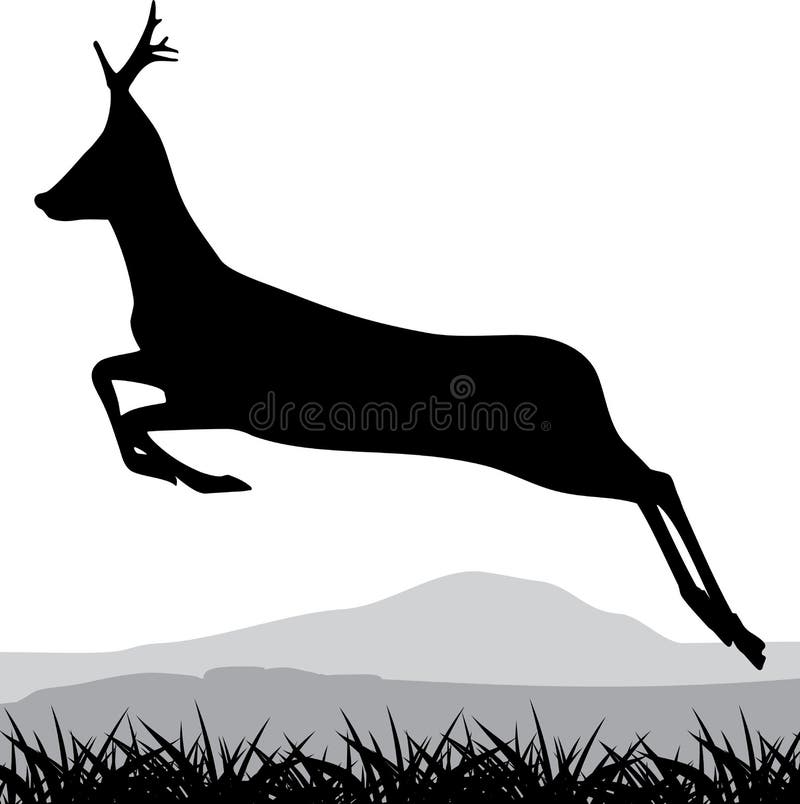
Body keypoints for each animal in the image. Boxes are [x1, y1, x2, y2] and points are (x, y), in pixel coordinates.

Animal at [35, 3, 766, 669]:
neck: (177, 288)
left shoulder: (221, 397)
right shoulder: (172, 372)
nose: (44, 197)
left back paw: (735, 629)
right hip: (569, 446)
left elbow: (130, 409)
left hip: (551, 451)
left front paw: (198, 475)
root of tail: (591, 377)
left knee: (653, 480)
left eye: (100, 156)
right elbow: (104, 375)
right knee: (652, 477)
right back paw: (730, 625)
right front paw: (184, 473)